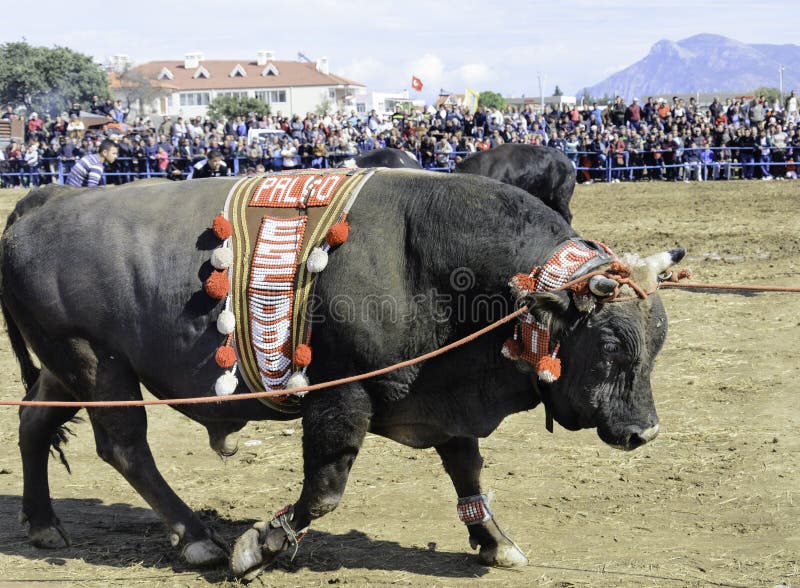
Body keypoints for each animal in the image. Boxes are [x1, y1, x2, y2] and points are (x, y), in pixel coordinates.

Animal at [0, 173, 682, 580]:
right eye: (612, 343)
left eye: (658, 337)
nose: (644, 431)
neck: (426, 259)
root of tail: (44, 200)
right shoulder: (343, 396)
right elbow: (326, 488)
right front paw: (260, 544)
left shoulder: (442, 394)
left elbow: (467, 472)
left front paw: (494, 538)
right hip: (98, 365)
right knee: (124, 447)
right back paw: (195, 536)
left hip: (64, 371)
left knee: (34, 426)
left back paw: (44, 523)